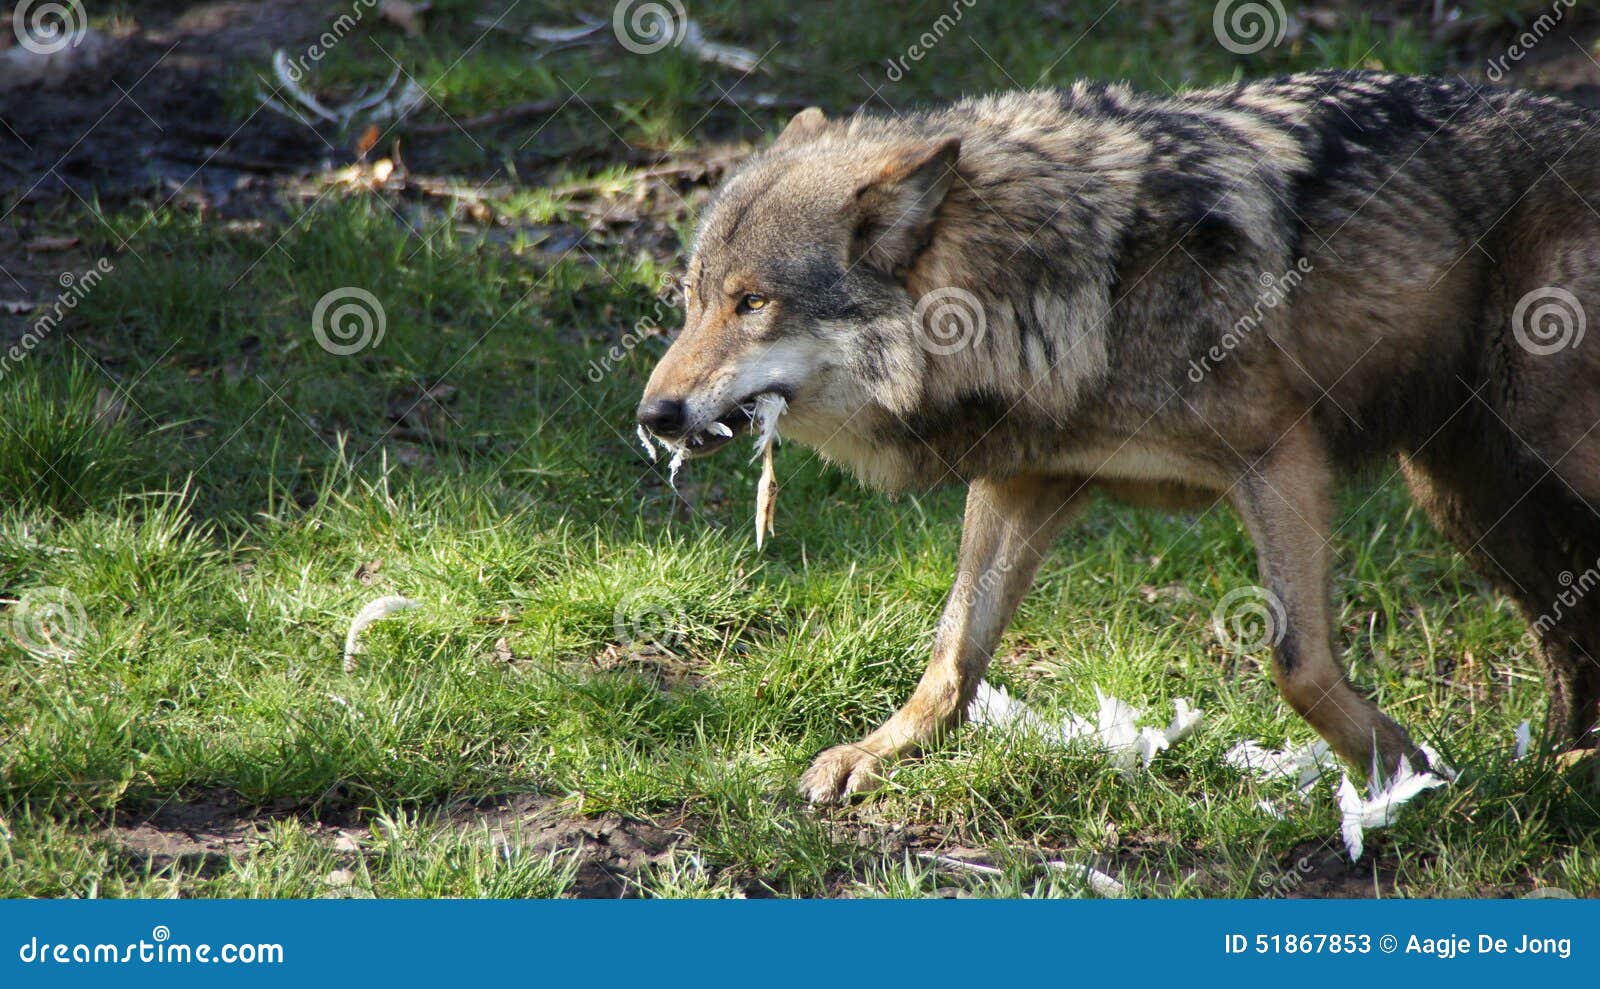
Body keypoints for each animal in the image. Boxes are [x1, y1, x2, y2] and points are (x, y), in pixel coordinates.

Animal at [636, 70, 1600, 803]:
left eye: (753, 303)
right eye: (693, 297)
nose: (654, 415)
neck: (1078, 280)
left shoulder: (1282, 458)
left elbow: (1296, 661)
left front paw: (1399, 770)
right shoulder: (1026, 480)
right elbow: (953, 653)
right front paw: (878, 753)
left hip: (1545, 447)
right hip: (1471, 504)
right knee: (1568, 630)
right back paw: (1565, 768)